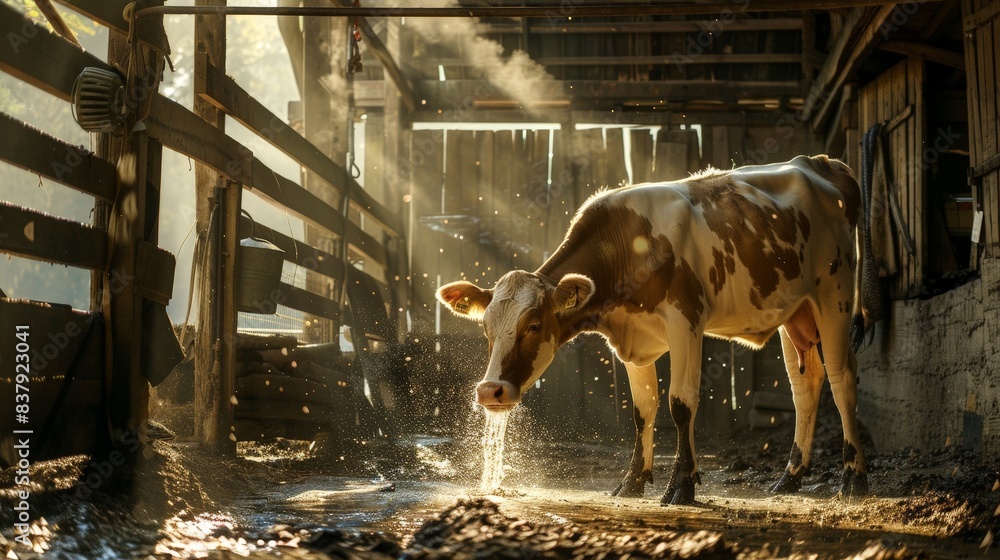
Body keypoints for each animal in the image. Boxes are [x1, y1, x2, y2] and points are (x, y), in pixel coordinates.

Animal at [436, 155, 868, 505]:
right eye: (486, 330)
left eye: (534, 324)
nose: (490, 391)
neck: (626, 246)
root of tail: (819, 162)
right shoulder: (631, 339)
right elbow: (643, 410)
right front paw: (633, 481)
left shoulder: (685, 321)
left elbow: (681, 404)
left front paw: (681, 485)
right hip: (795, 311)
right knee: (805, 385)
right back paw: (791, 476)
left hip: (834, 294)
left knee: (841, 376)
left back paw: (853, 476)